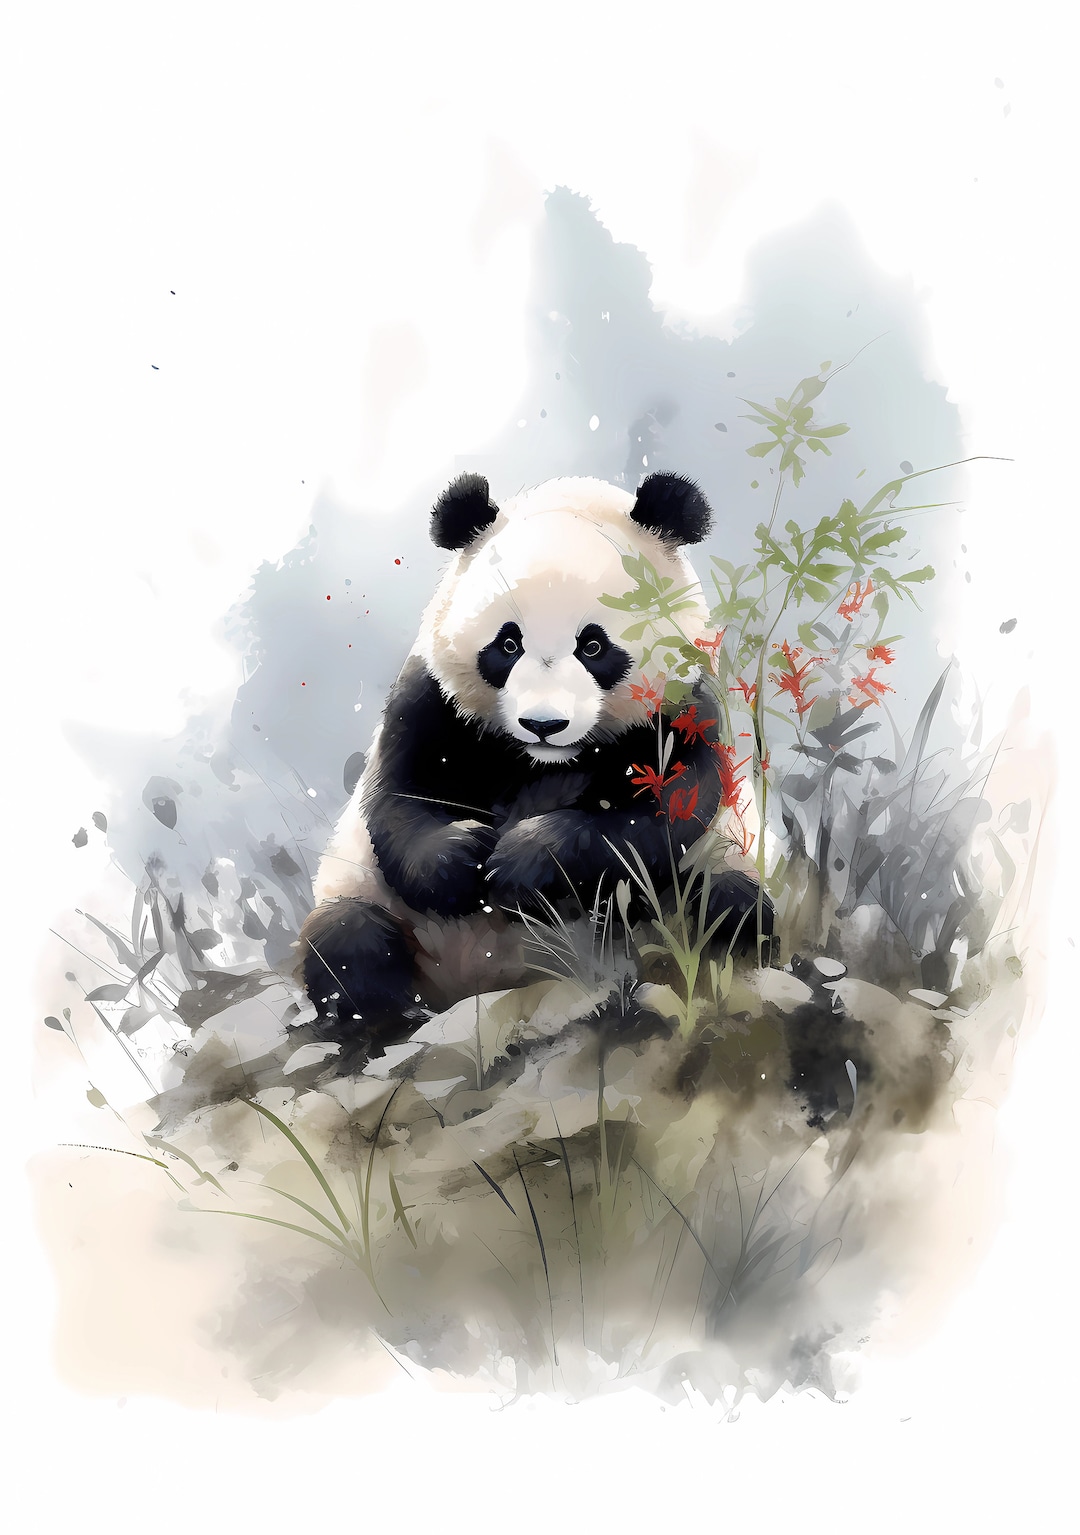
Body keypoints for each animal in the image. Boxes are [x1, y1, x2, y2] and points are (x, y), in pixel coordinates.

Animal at [297, 471, 768, 1060]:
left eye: (593, 646)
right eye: (507, 643)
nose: (544, 723)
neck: (541, 762)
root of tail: (494, 986)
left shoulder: (682, 711)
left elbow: (661, 817)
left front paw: (524, 861)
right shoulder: (430, 701)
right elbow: (398, 801)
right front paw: (463, 858)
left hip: (693, 885)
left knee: (721, 903)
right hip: (375, 902)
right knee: (349, 939)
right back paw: (382, 1019)